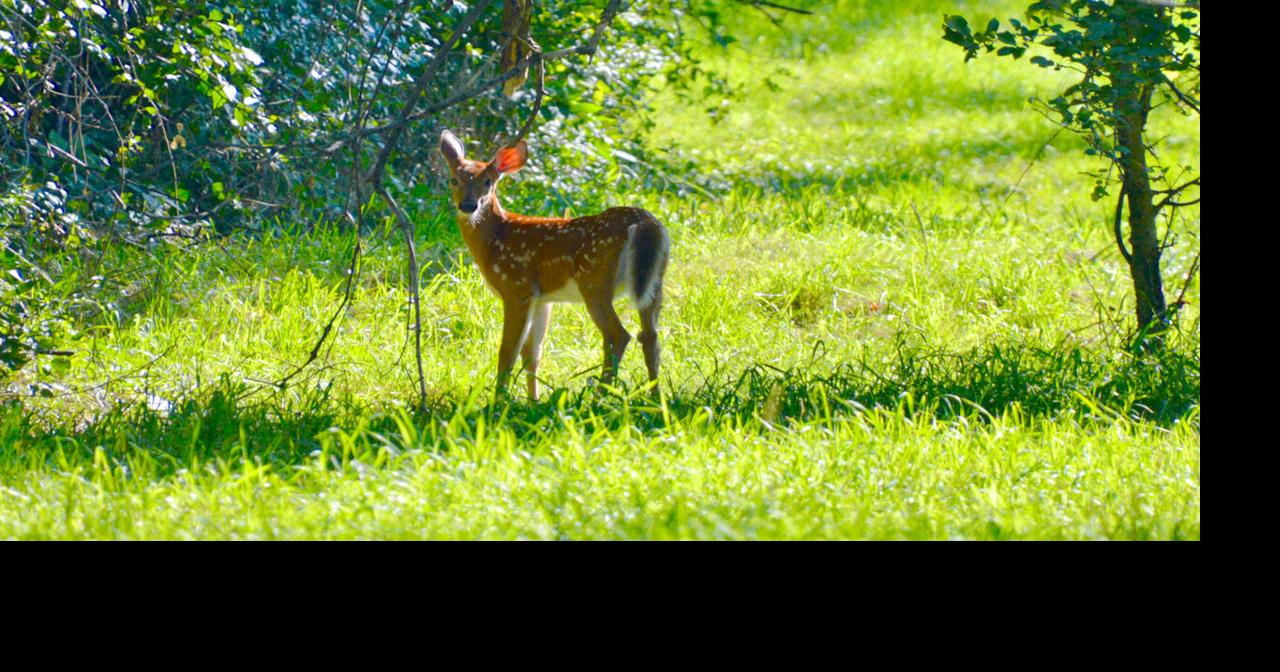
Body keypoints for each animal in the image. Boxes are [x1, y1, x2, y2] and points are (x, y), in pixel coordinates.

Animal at [438, 130, 670, 401]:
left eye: (488, 181)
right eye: (454, 180)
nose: (467, 206)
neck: (495, 239)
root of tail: (645, 225)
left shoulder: (517, 289)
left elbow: (508, 352)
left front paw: (499, 400)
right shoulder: (543, 300)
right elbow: (532, 355)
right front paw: (533, 400)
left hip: (594, 282)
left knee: (618, 335)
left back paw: (600, 396)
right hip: (653, 282)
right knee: (650, 337)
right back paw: (655, 397)